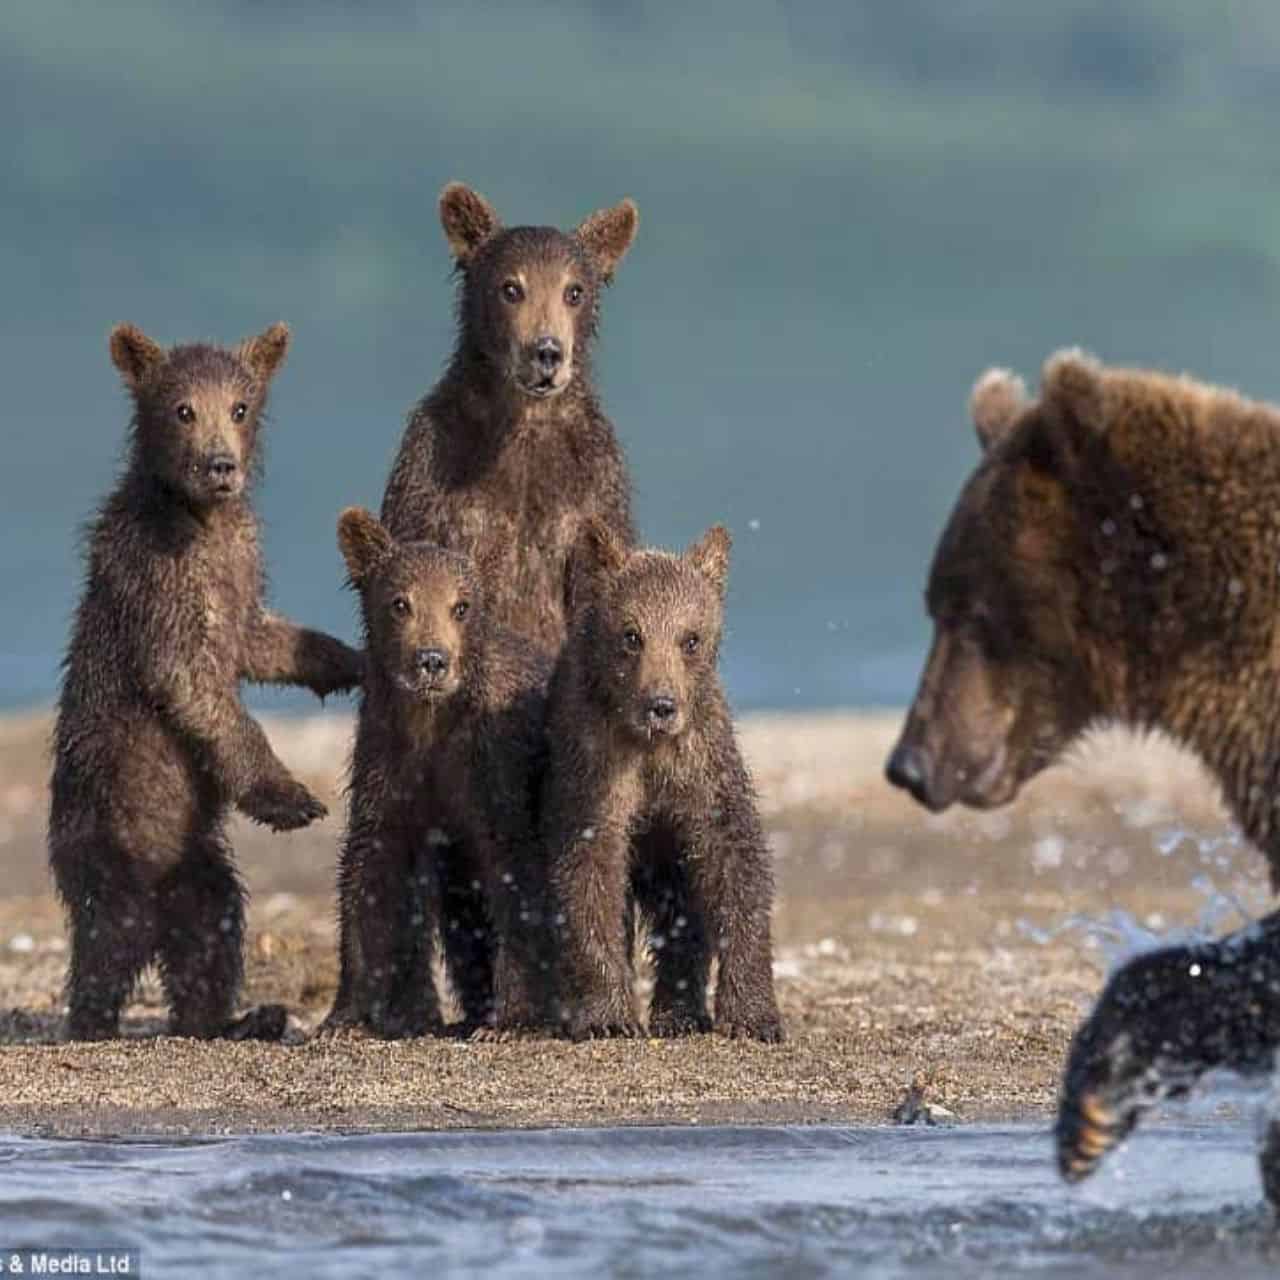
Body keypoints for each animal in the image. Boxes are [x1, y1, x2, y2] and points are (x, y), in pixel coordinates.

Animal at [49, 323, 363, 1041]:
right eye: (183, 409)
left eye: (240, 407)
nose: (220, 466)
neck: (198, 518)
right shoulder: (159, 579)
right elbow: (193, 685)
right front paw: (290, 797)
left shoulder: (239, 567)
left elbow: (259, 639)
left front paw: (349, 659)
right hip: (107, 827)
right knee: (105, 942)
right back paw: (95, 1018)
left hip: (196, 859)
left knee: (210, 927)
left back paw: (237, 1015)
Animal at [323, 508, 554, 1038]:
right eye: (400, 602)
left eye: (461, 606)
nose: (432, 659)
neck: (432, 722)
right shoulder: (388, 761)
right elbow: (370, 870)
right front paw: (344, 1016)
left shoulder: (493, 764)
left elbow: (516, 872)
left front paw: (512, 1019)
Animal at [380, 182, 638, 655]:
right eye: (511, 288)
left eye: (574, 291)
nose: (547, 352)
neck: (522, 421)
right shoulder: (432, 471)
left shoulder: (594, 486)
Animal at [542, 519, 783, 1042]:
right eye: (632, 634)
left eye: (690, 638)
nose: (662, 705)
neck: (649, 745)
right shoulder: (597, 765)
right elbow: (589, 869)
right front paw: (608, 1016)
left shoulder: (700, 764)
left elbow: (735, 859)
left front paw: (753, 1015)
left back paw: (680, 1014)